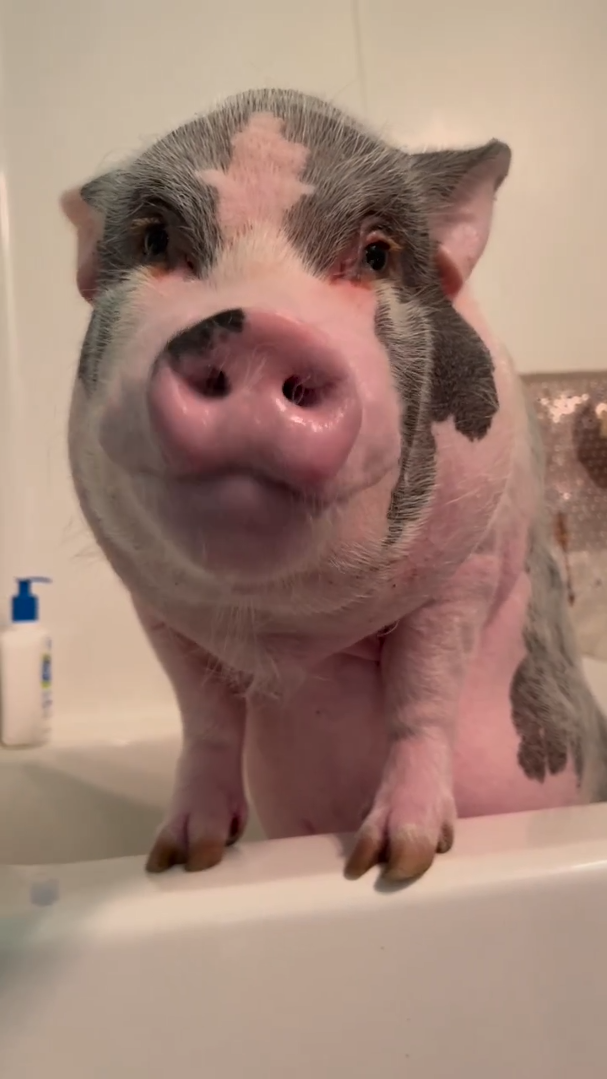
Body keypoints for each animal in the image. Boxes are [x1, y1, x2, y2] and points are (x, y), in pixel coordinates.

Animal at [61, 88, 607, 882]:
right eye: (156, 240)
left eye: (377, 252)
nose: (255, 330)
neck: (287, 636)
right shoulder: (156, 608)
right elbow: (204, 717)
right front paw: (180, 859)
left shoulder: (470, 566)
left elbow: (423, 694)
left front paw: (394, 863)